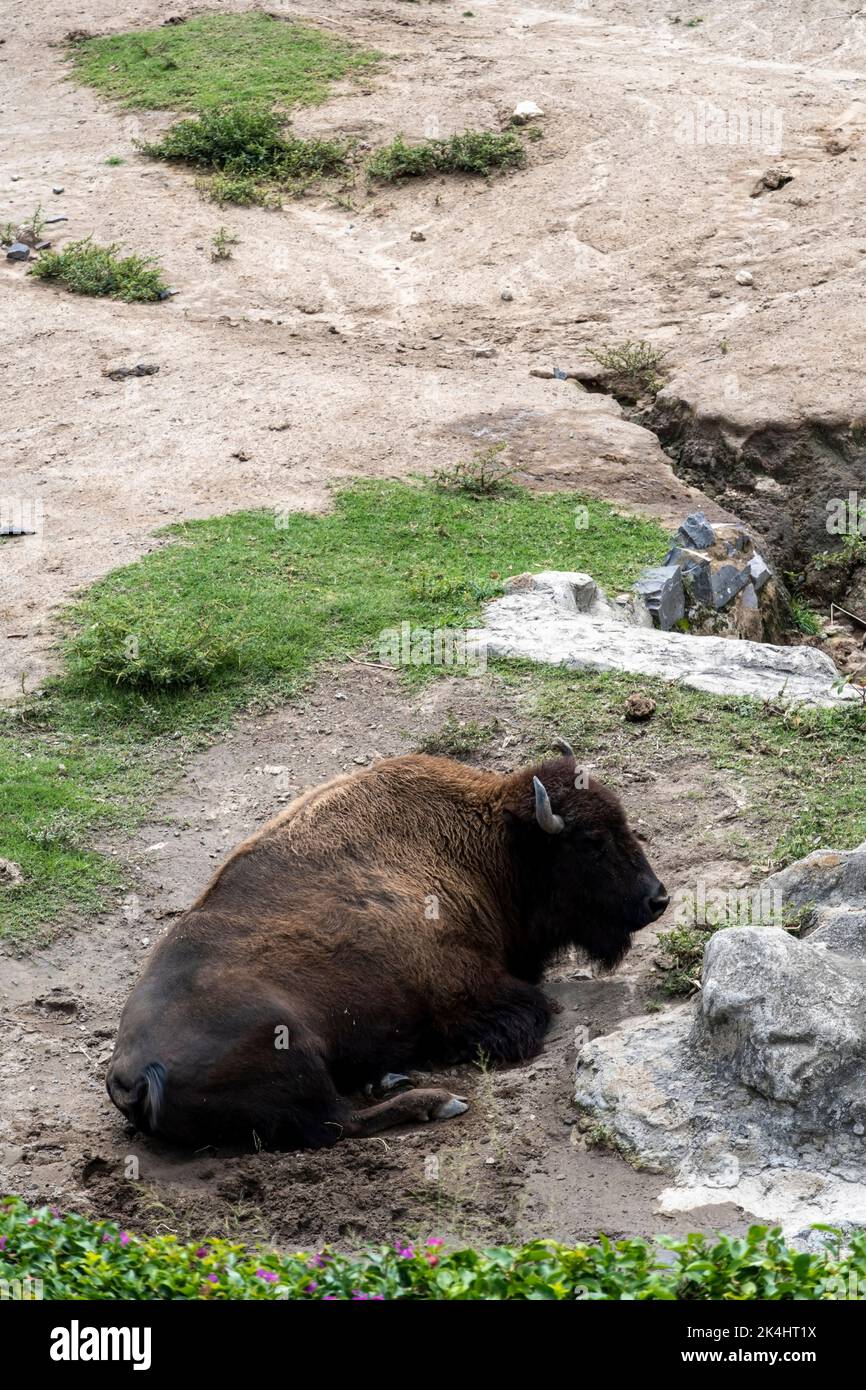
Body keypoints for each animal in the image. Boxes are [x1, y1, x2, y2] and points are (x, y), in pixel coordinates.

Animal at [107, 742, 668, 1149]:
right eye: (592, 842)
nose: (657, 899)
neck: (489, 847)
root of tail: (133, 1073)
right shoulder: (471, 993)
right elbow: (529, 1010)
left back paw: (392, 1079)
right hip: (292, 1048)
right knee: (337, 1124)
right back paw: (434, 1100)